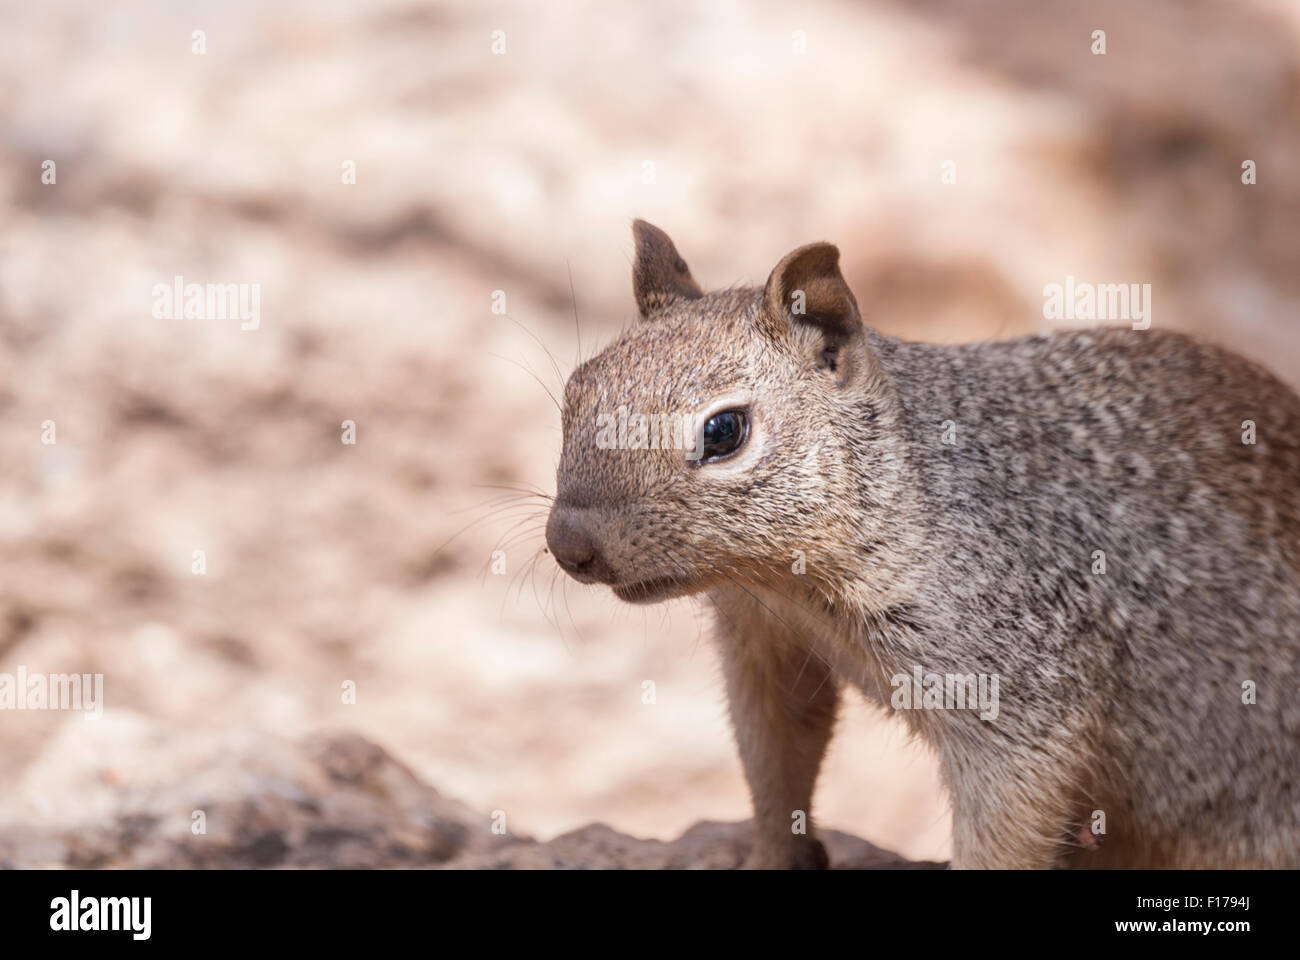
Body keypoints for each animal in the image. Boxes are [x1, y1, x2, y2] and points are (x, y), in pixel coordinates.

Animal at [544, 219, 1300, 868]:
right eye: (575, 390)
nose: (568, 544)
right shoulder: (767, 646)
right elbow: (776, 764)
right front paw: (769, 856)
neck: (791, 588)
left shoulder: (1016, 692)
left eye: (724, 432)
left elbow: (1008, 819)